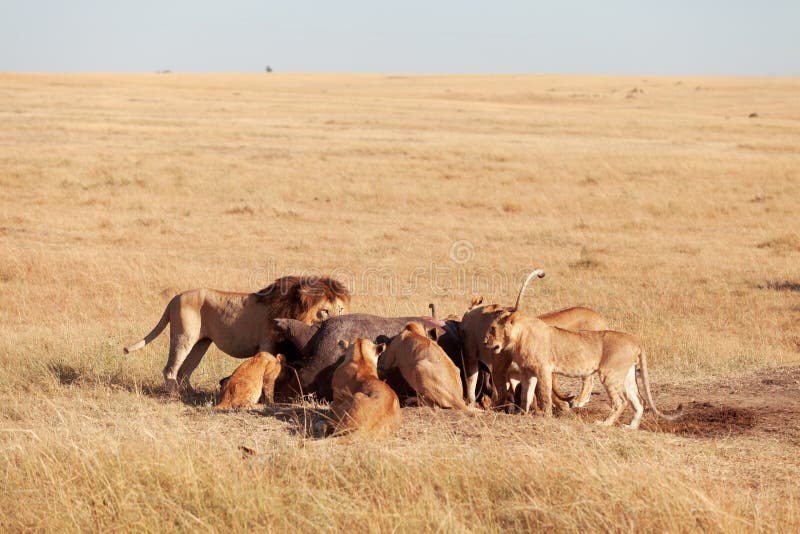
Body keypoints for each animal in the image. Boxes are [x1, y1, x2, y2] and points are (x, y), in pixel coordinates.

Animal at [123, 275, 350, 394]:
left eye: (340, 309)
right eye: (325, 311)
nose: (340, 321)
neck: (295, 312)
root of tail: (175, 297)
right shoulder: (267, 345)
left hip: (201, 343)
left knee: (185, 371)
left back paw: (191, 393)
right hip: (183, 337)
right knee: (171, 369)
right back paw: (174, 395)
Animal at [484, 310, 683, 429]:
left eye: (492, 329)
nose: (485, 343)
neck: (519, 336)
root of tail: (635, 340)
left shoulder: (544, 368)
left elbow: (544, 395)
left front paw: (546, 416)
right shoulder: (528, 373)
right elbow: (526, 394)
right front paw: (523, 413)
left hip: (609, 374)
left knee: (621, 402)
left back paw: (604, 424)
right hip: (626, 375)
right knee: (639, 401)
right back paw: (631, 427)